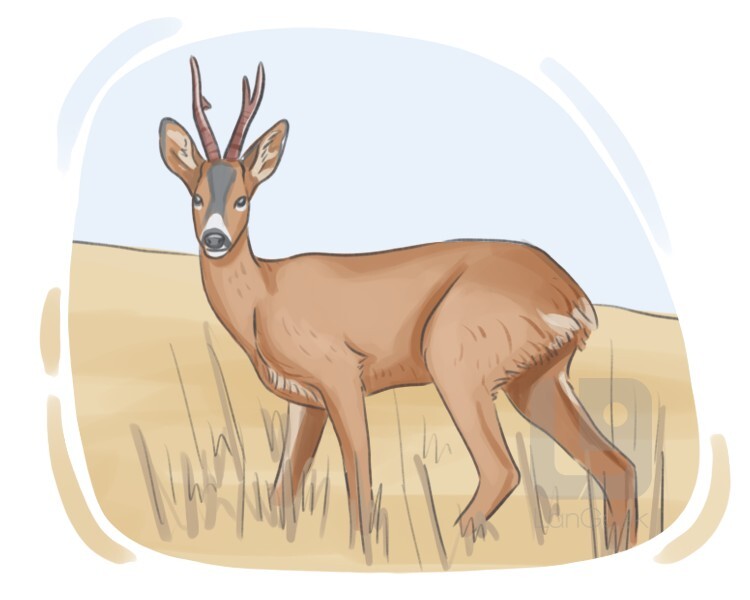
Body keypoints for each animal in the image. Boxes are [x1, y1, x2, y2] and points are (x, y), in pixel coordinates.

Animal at [158, 56, 638, 555]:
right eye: (196, 197)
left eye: (242, 199)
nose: (215, 238)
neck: (263, 294)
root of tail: (571, 294)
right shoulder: (305, 400)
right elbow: (283, 487)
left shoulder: (341, 373)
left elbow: (358, 472)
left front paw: (361, 551)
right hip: (538, 380)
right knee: (617, 465)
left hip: (455, 362)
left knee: (503, 469)